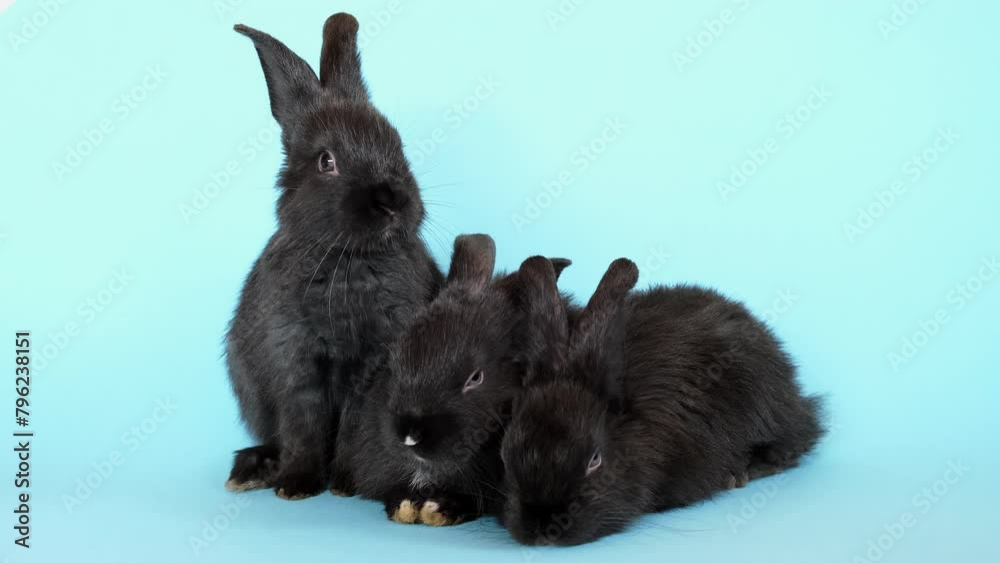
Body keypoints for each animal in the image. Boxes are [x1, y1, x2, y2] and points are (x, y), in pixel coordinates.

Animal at [224, 13, 444, 500]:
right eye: (326, 161)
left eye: (397, 145)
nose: (391, 202)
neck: (350, 261)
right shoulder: (295, 360)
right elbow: (303, 424)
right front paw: (296, 485)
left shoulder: (373, 369)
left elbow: (352, 425)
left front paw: (343, 483)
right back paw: (254, 469)